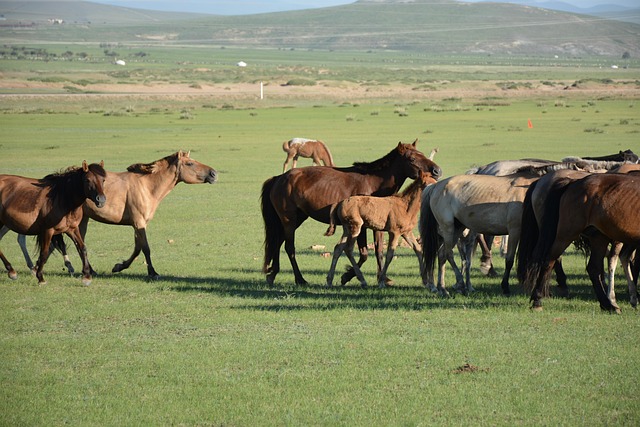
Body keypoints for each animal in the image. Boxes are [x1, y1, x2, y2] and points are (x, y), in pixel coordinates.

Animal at [78, 151, 217, 279]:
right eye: (190, 163)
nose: (214, 173)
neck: (146, 187)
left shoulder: (139, 224)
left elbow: (137, 248)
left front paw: (119, 266)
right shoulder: (138, 222)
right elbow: (145, 248)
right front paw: (152, 272)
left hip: (83, 220)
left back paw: (91, 270)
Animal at [261, 140, 442, 286]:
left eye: (422, 154)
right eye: (412, 158)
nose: (437, 171)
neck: (373, 182)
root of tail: (278, 178)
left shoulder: (378, 226)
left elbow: (378, 251)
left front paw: (383, 278)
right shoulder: (362, 227)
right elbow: (363, 254)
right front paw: (348, 276)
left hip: (297, 218)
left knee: (277, 243)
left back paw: (272, 274)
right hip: (289, 220)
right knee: (289, 247)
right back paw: (299, 279)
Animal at [520, 173, 640, 312]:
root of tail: (573, 183)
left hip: (599, 238)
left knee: (593, 268)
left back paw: (607, 304)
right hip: (566, 234)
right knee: (548, 261)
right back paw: (537, 300)